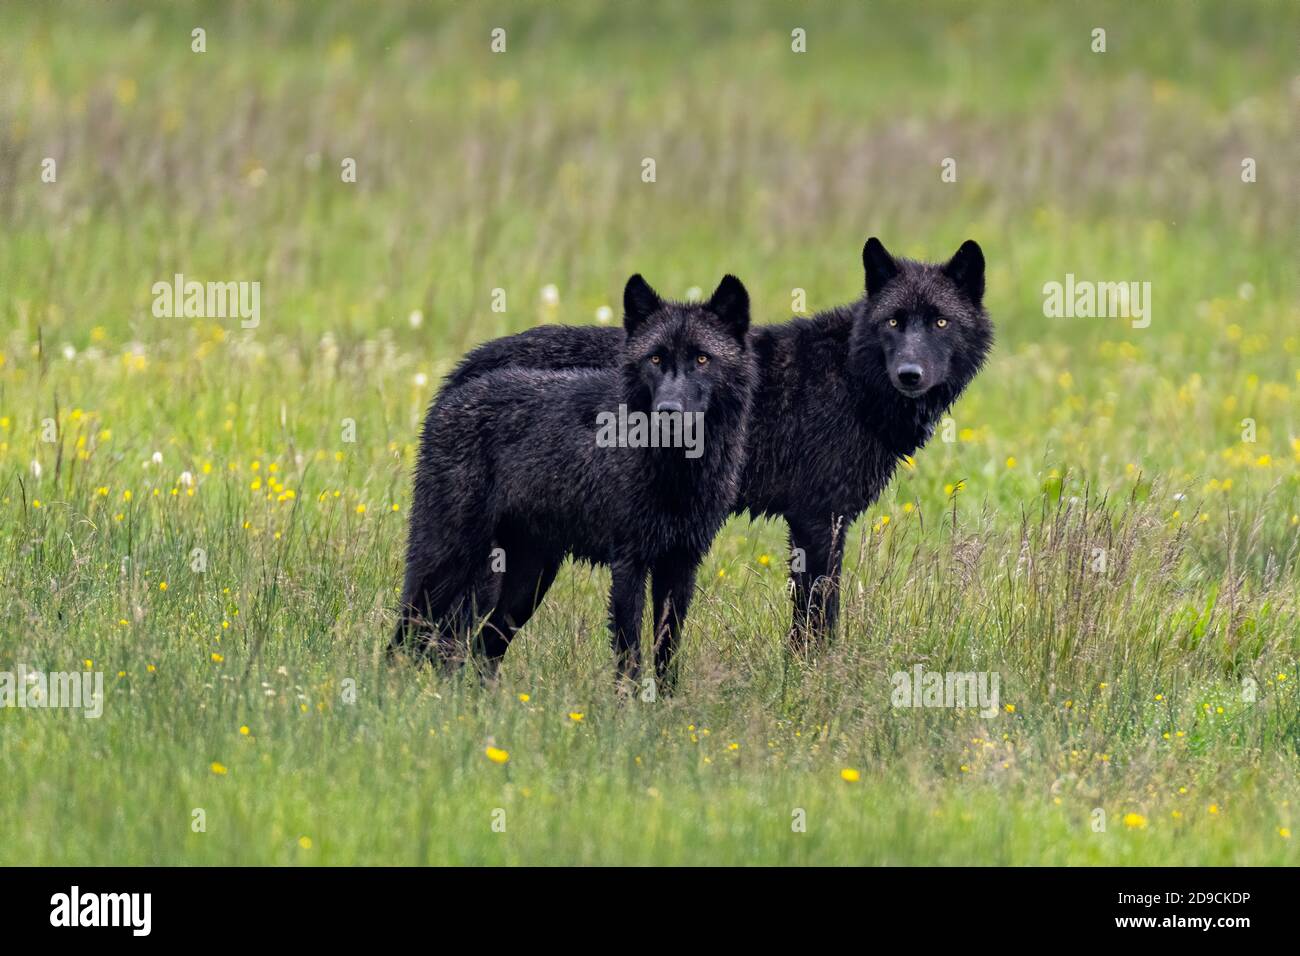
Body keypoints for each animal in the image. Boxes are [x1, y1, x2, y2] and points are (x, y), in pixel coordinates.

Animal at [390, 274, 759, 686]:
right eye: (655, 358)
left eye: (702, 359)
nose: (669, 412)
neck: (676, 471)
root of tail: (453, 391)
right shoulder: (629, 563)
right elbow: (630, 654)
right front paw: (630, 703)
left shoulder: (680, 565)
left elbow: (666, 654)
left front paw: (665, 704)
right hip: (448, 562)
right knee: (406, 637)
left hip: (524, 583)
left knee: (480, 647)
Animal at [441, 238, 987, 650]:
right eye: (894, 322)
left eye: (940, 322)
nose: (910, 374)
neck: (850, 378)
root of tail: (467, 368)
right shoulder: (816, 521)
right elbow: (816, 626)